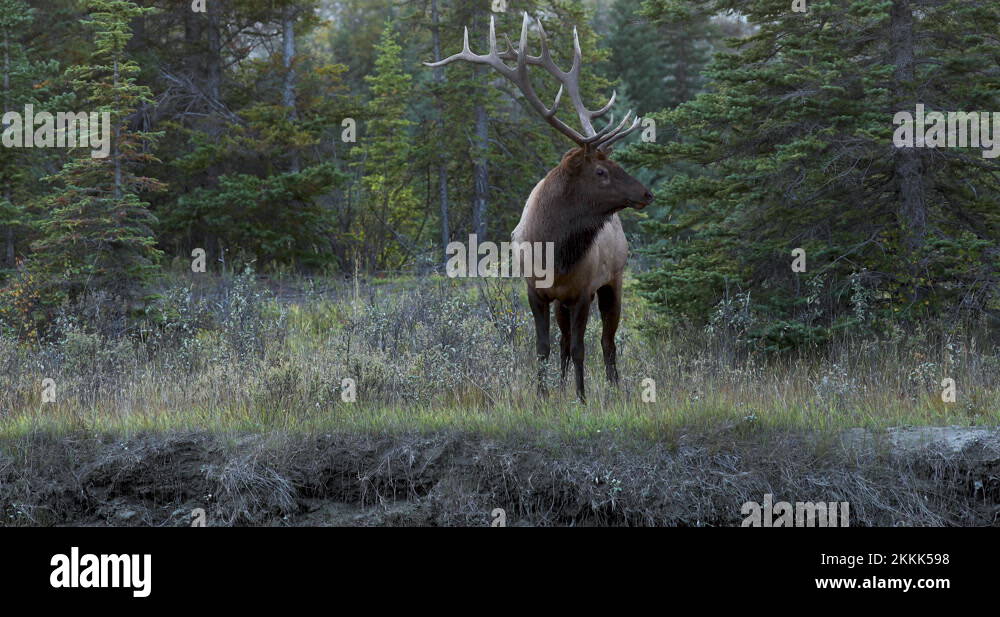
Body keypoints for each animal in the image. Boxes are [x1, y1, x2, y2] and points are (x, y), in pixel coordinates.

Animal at [426, 13, 653, 402]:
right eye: (601, 171)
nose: (646, 193)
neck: (553, 253)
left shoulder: (583, 291)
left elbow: (580, 348)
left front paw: (581, 397)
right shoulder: (536, 291)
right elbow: (545, 347)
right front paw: (544, 396)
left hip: (615, 279)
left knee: (607, 342)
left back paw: (614, 388)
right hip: (567, 299)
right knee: (566, 342)